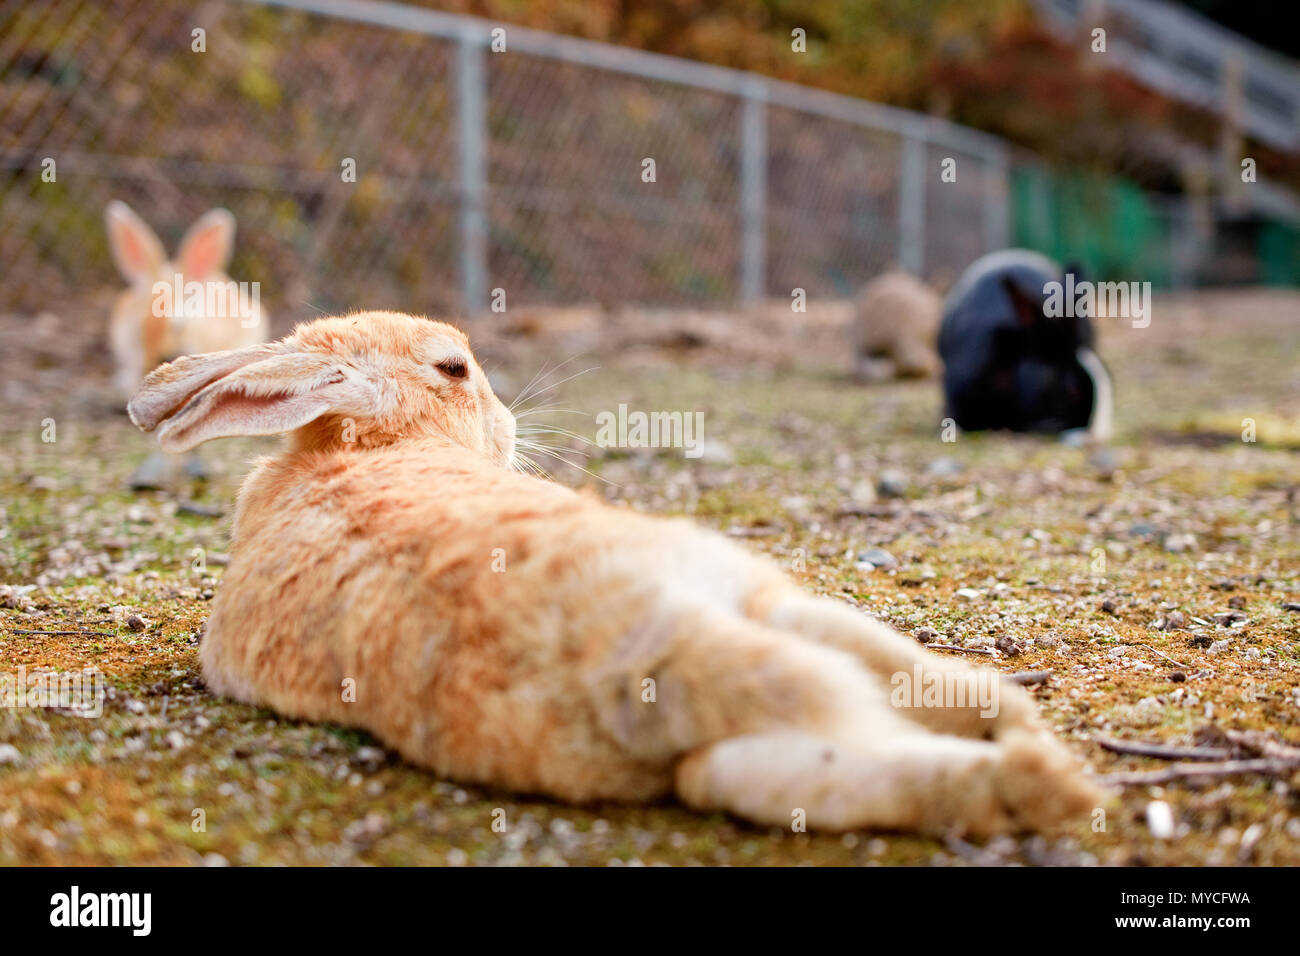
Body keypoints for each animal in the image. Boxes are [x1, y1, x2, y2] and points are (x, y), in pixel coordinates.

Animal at [129, 310, 1104, 834]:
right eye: (455, 368)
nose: (508, 425)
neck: (367, 448)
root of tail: (619, 650)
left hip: (724, 732)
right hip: (749, 592)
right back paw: (1042, 756)